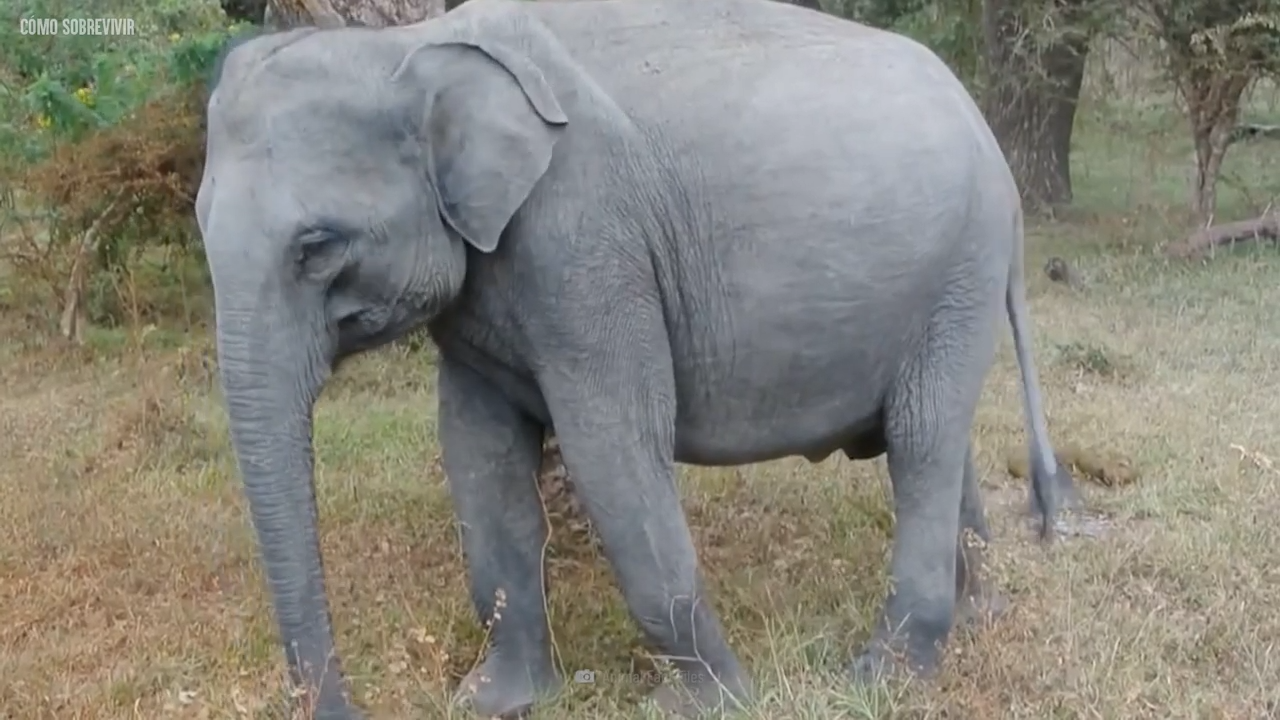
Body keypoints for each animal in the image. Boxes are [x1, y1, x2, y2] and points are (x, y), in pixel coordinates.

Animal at [196, 0, 1080, 717]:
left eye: (316, 247)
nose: (345, 706)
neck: (417, 46)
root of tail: (995, 154)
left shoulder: (585, 242)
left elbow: (613, 449)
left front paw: (714, 703)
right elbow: (478, 456)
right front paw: (497, 701)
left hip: (959, 269)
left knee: (923, 443)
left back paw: (885, 677)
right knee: (935, 439)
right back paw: (979, 619)